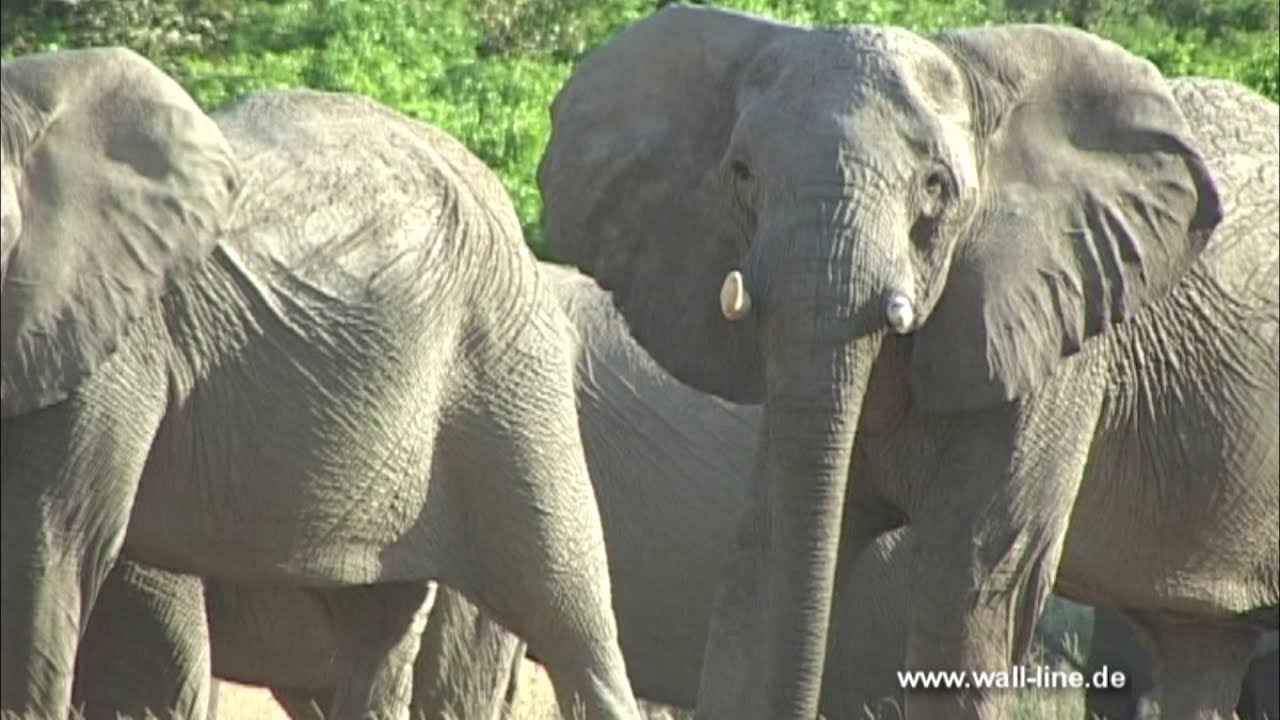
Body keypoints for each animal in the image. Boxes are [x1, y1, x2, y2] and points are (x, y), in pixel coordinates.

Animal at [538, 5, 1279, 719]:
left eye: (935, 186)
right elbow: (762, 572)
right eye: (741, 175)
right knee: (1198, 647)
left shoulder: (1052, 334)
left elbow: (970, 589)